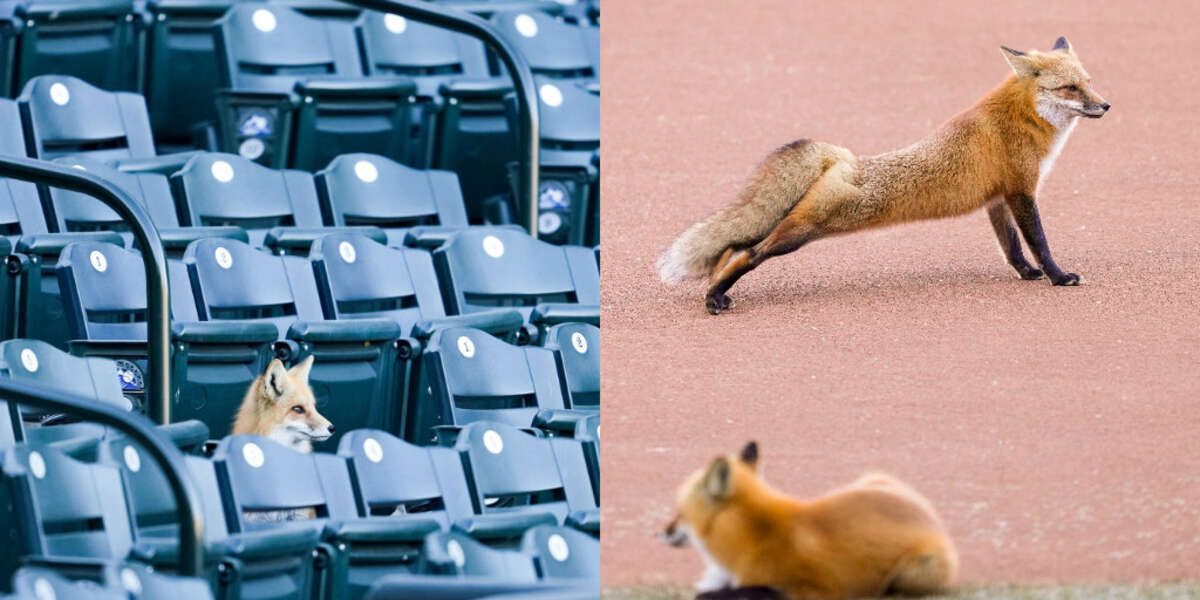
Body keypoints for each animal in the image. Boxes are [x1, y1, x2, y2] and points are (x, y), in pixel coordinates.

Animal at [657, 37, 1110, 315]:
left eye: (1088, 82)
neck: (1021, 119)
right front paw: (1057, 277)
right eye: (1070, 88)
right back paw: (715, 296)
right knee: (748, 253)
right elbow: (1039, 243)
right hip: (802, 232)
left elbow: (1013, 249)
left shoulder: (997, 200)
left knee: (734, 247)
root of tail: (840, 157)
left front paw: (1029, 275)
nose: (1106, 106)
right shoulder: (1021, 192)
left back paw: (715, 289)